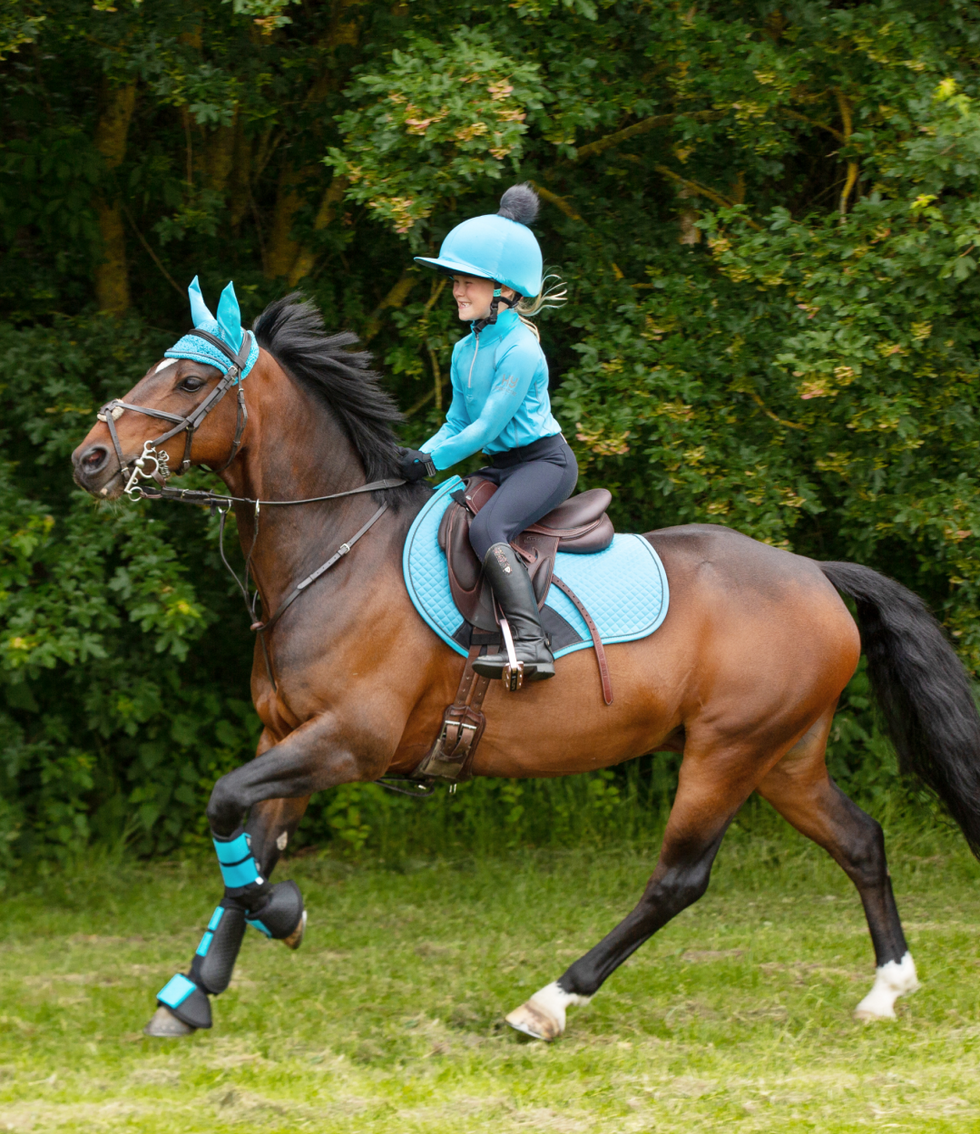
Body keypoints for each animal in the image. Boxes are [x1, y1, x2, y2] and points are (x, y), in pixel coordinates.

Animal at [71, 294, 980, 1041]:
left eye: (190, 379)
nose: (90, 459)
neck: (333, 551)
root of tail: (815, 573)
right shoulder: (288, 735)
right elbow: (248, 846)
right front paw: (194, 993)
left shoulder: (349, 742)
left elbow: (230, 810)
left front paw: (280, 919)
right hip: (784, 756)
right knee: (860, 841)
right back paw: (886, 989)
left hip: (728, 752)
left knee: (678, 880)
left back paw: (548, 1003)